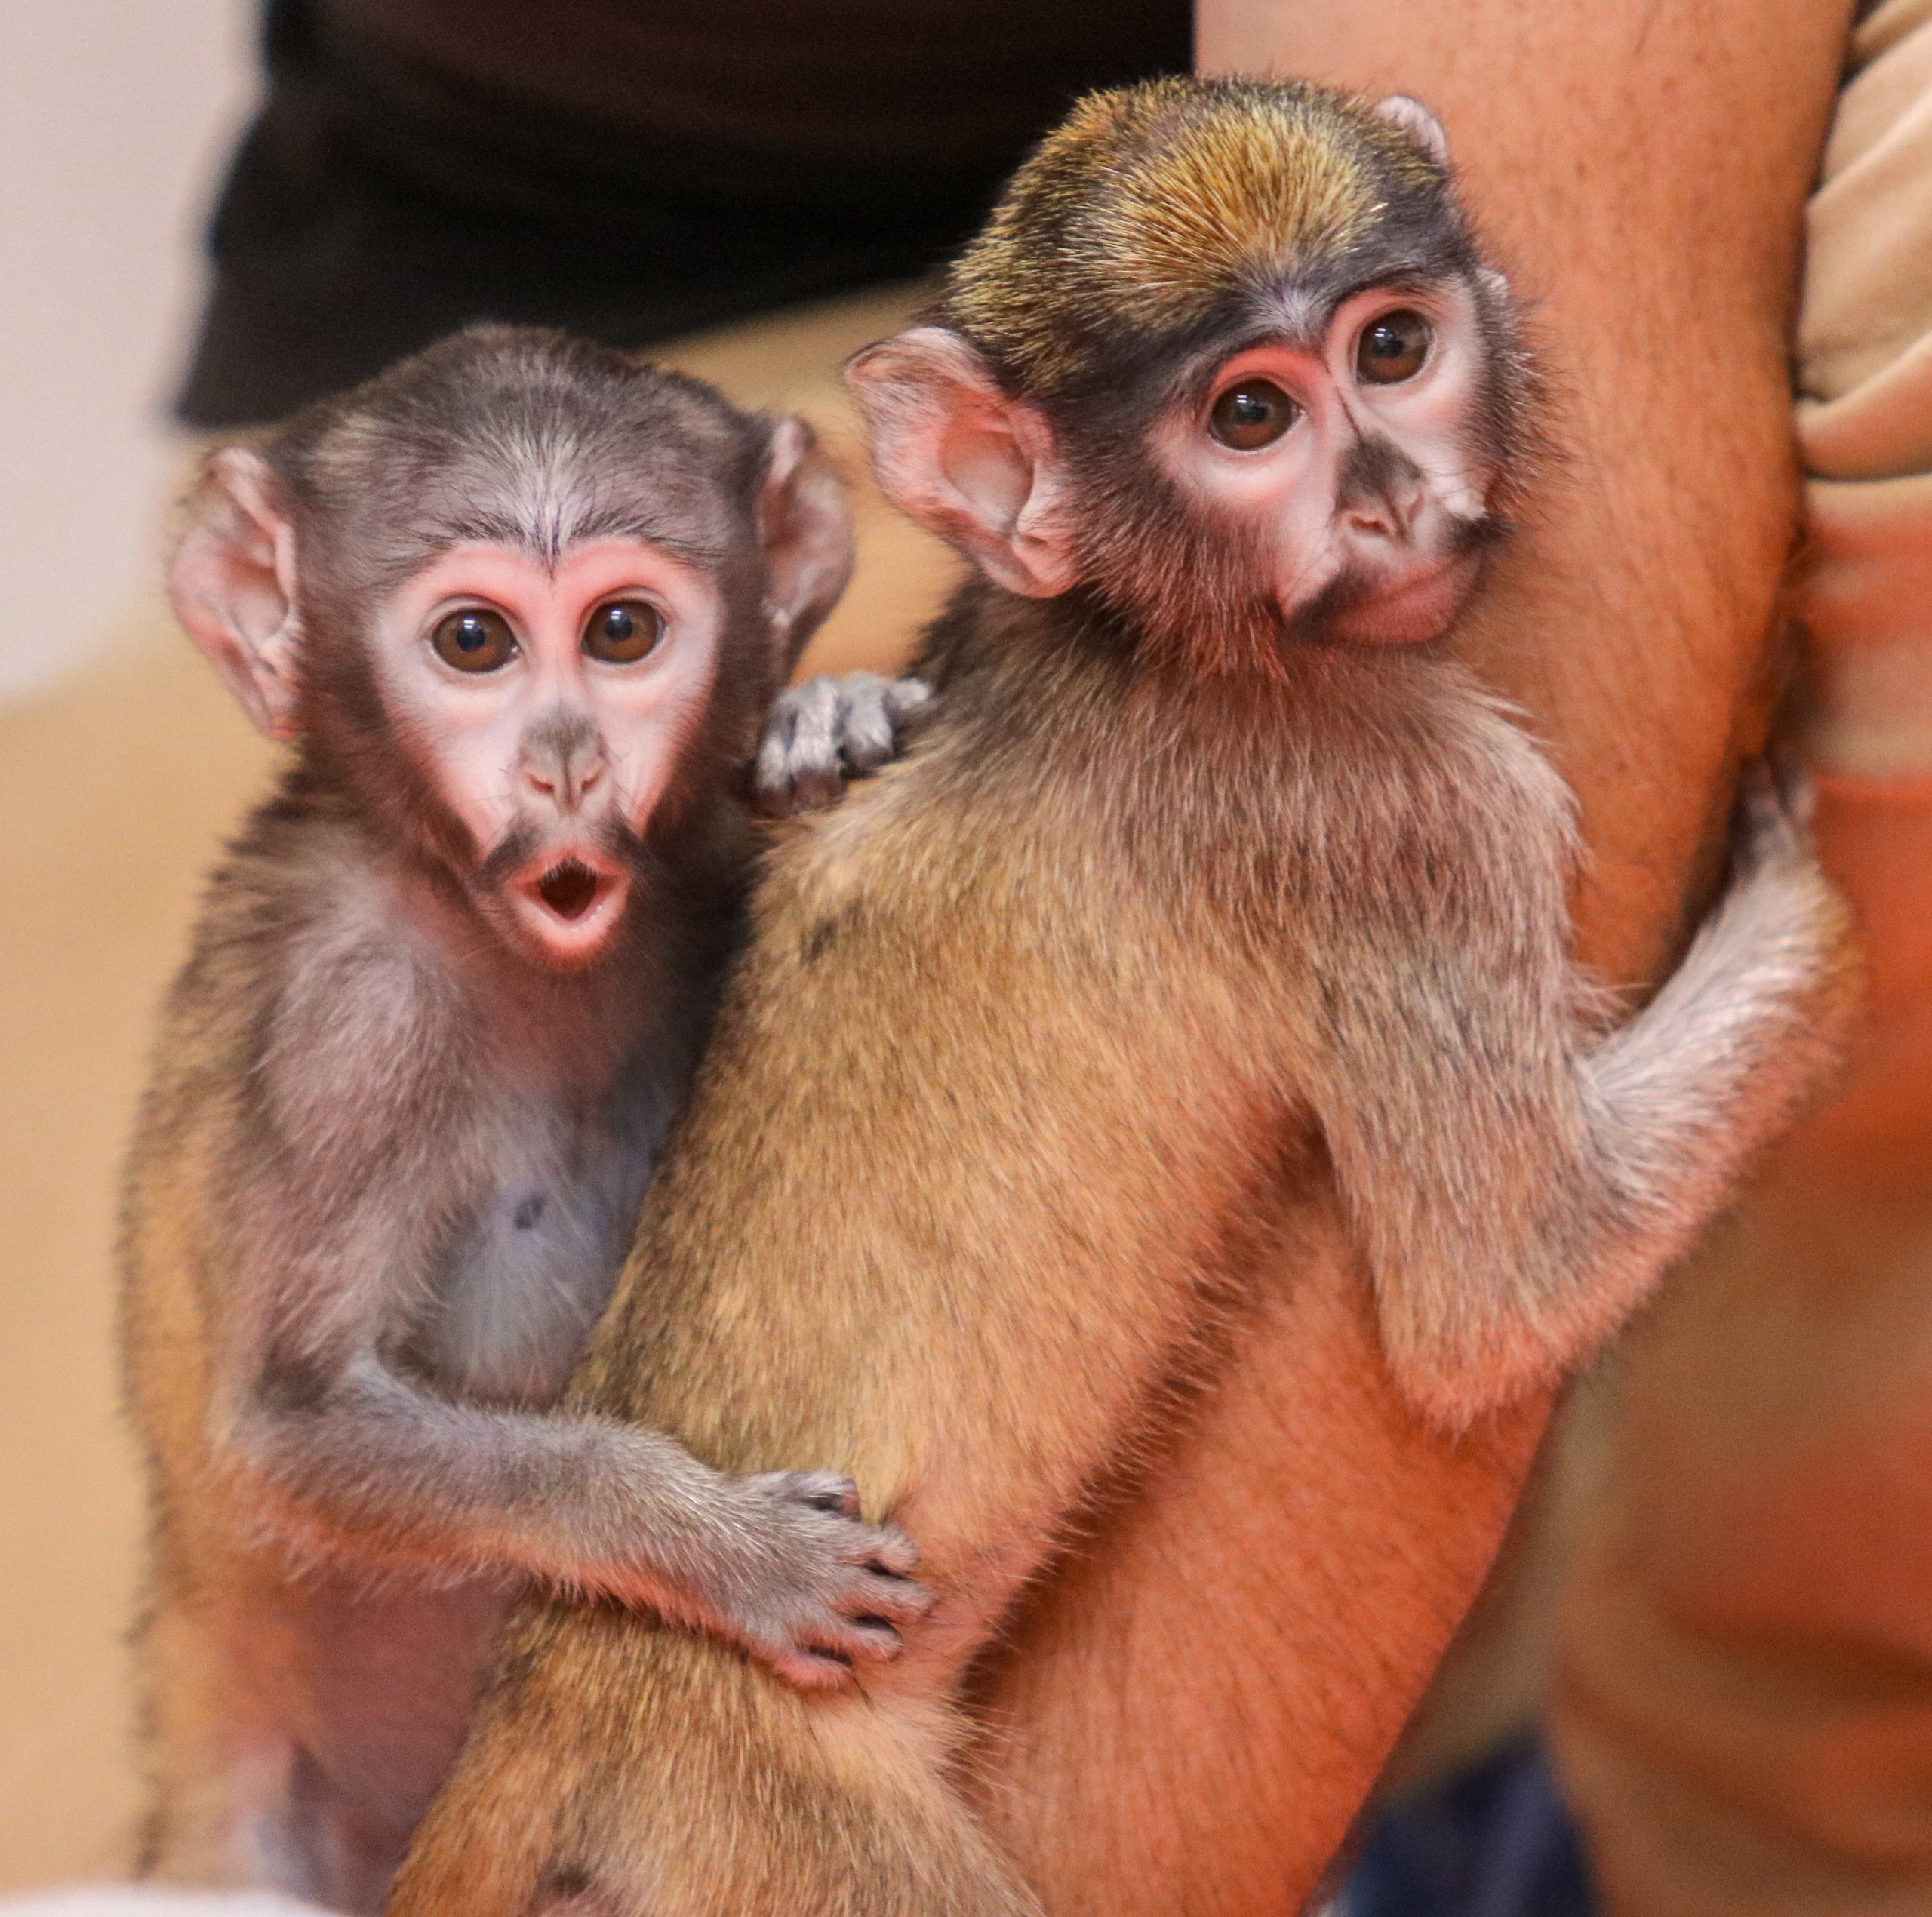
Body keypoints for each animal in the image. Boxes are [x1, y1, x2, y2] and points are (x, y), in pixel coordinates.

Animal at [120, 325, 939, 1917]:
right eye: (474, 645)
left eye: (621, 632)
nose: (564, 763)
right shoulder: (354, 1026)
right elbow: (294, 1423)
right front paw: (722, 1551)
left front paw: (825, 712)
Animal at [385, 81, 1857, 1917]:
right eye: (1249, 415)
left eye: (1392, 346)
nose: (1388, 501)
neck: (1138, 637)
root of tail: (554, 1676)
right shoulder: (1399, 814)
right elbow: (1505, 1292)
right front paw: (1810, 877)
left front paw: (828, 730)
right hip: (746, 1811)